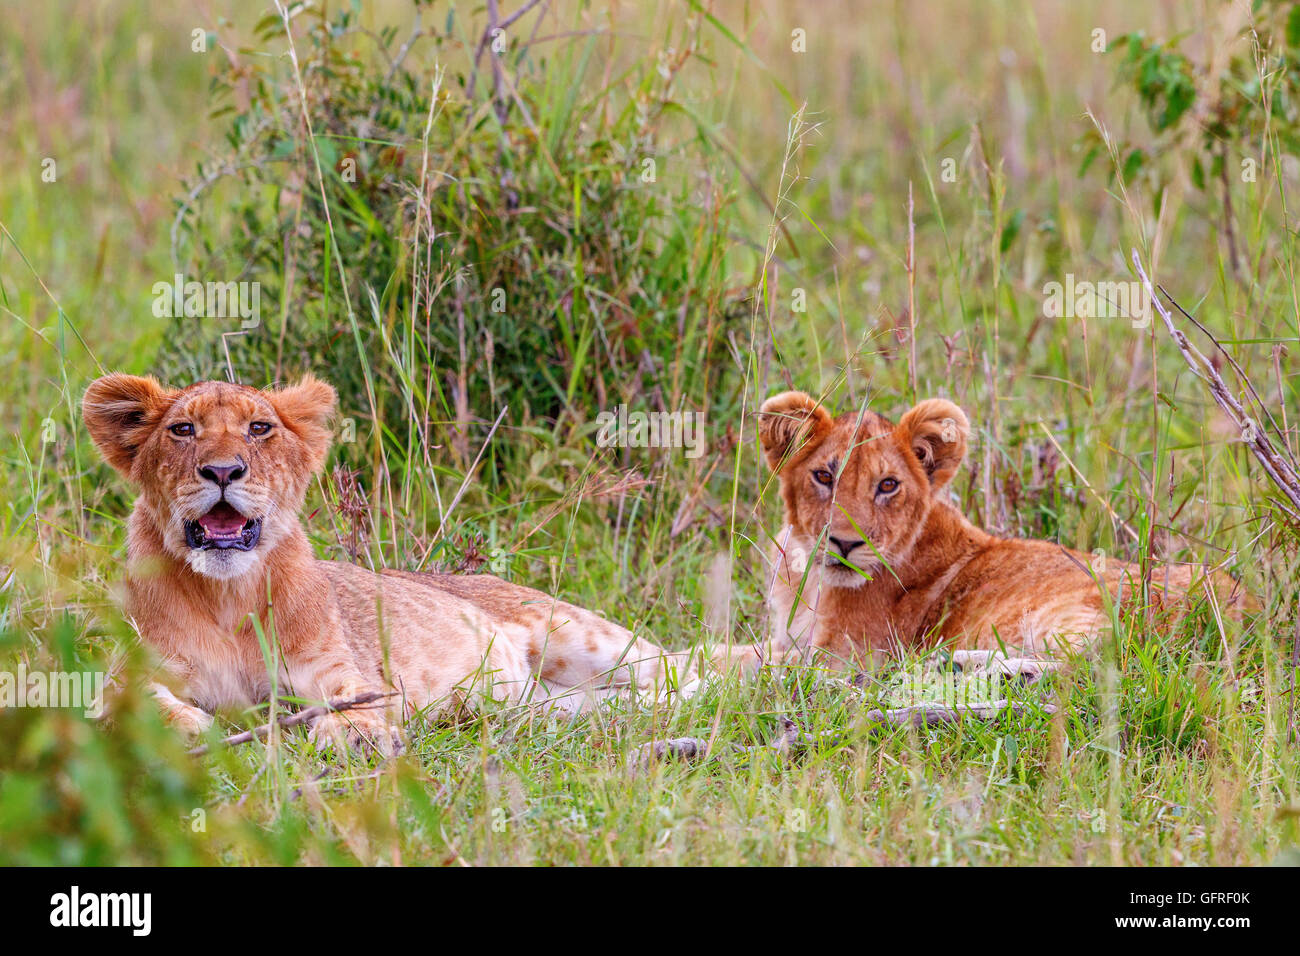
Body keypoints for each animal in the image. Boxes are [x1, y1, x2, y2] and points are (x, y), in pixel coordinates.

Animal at [82, 374, 698, 754]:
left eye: (260, 428)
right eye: (183, 429)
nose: (224, 471)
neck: (228, 595)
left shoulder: (337, 669)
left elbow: (355, 702)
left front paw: (356, 737)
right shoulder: (135, 668)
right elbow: (126, 700)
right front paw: (187, 728)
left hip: (580, 635)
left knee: (691, 668)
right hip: (547, 701)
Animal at [711, 390, 1255, 677]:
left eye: (887, 485)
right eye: (824, 476)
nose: (845, 544)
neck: (808, 578)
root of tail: (1244, 605)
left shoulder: (844, 657)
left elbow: (737, 663)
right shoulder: (793, 639)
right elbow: (733, 650)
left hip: (1067, 614)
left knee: (1090, 666)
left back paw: (949, 663)